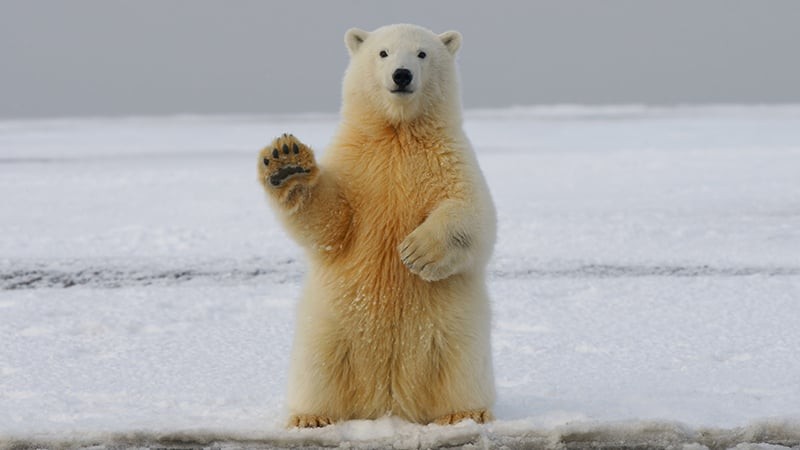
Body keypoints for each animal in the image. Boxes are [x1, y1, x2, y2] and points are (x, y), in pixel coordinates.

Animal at [257, 24, 496, 427]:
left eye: (422, 53)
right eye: (383, 53)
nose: (402, 75)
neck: (397, 133)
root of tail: (388, 402)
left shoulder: (450, 159)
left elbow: (473, 214)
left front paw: (416, 252)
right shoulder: (356, 164)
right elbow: (331, 223)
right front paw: (286, 163)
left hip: (455, 331)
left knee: (461, 367)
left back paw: (465, 413)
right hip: (329, 328)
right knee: (318, 368)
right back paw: (311, 417)